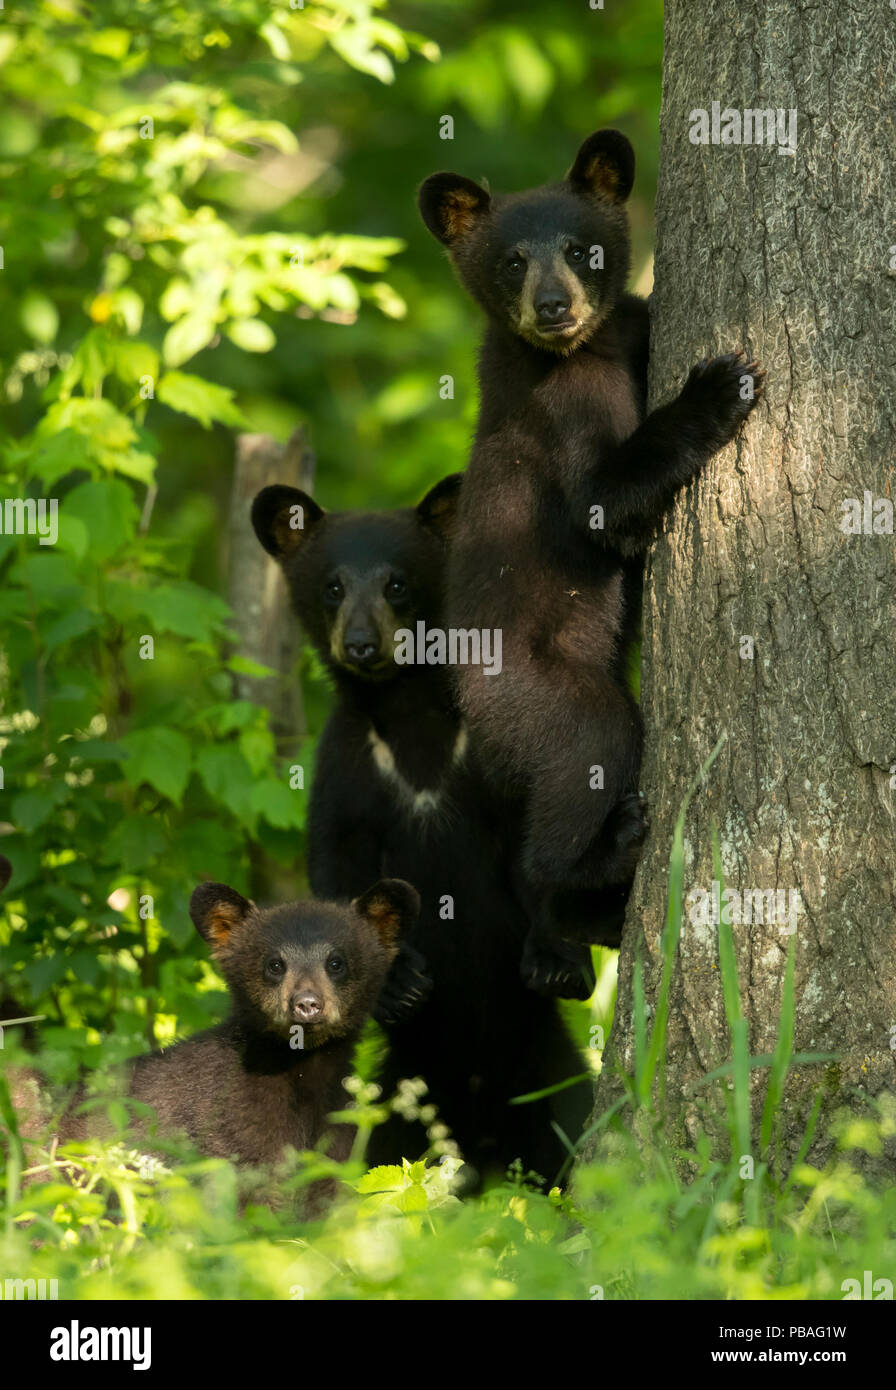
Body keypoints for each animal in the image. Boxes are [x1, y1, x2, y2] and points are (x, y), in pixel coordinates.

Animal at [63, 877, 419, 1207]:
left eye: (336, 962)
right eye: (274, 964)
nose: (306, 1004)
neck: (301, 1074)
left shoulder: (335, 1128)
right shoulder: (225, 1131)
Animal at [250, 478, 594, 1188]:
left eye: (398, 583)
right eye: (331, 585)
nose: (361, 643)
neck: (410, 718)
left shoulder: (489, 756)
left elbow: (540, 841)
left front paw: (558, 959)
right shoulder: (350, 768)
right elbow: (336, 865)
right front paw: (401, 979)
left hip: (557, 1079)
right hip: (391, 1114)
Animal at [418, 129, 764, 959]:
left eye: (582, 250)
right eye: (513, 260)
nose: (554, 306)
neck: (587, 350)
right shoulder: (557, 415)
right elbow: (604, 506)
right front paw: (719, 385)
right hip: (537, 691)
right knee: (586, 758)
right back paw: (597, 861)